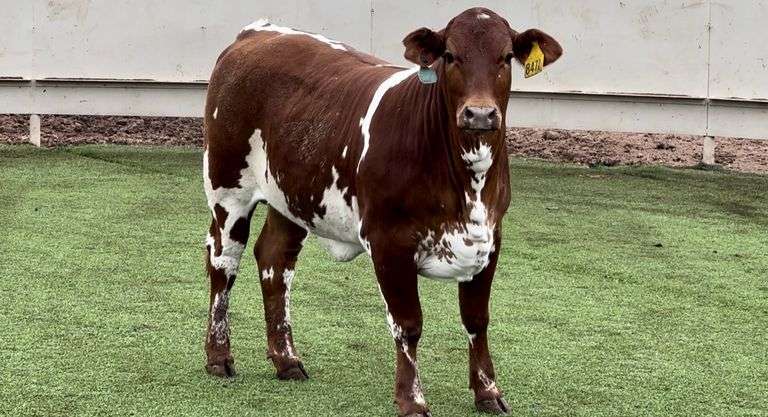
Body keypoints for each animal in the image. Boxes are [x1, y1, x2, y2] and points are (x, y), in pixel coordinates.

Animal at [202, 7, 562, 416]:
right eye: (449, 55)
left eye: (505, 57)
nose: (480, 114)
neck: (467, 183)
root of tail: (258, 32)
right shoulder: (389, 241)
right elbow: (408, 323)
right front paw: (412, 399)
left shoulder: (491, 238)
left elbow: (477, 318)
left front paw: (488, 392)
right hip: (227, 187)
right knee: (223, 262)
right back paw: (219, 356)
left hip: (293, 196)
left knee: (275, 260)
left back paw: (286, 359)